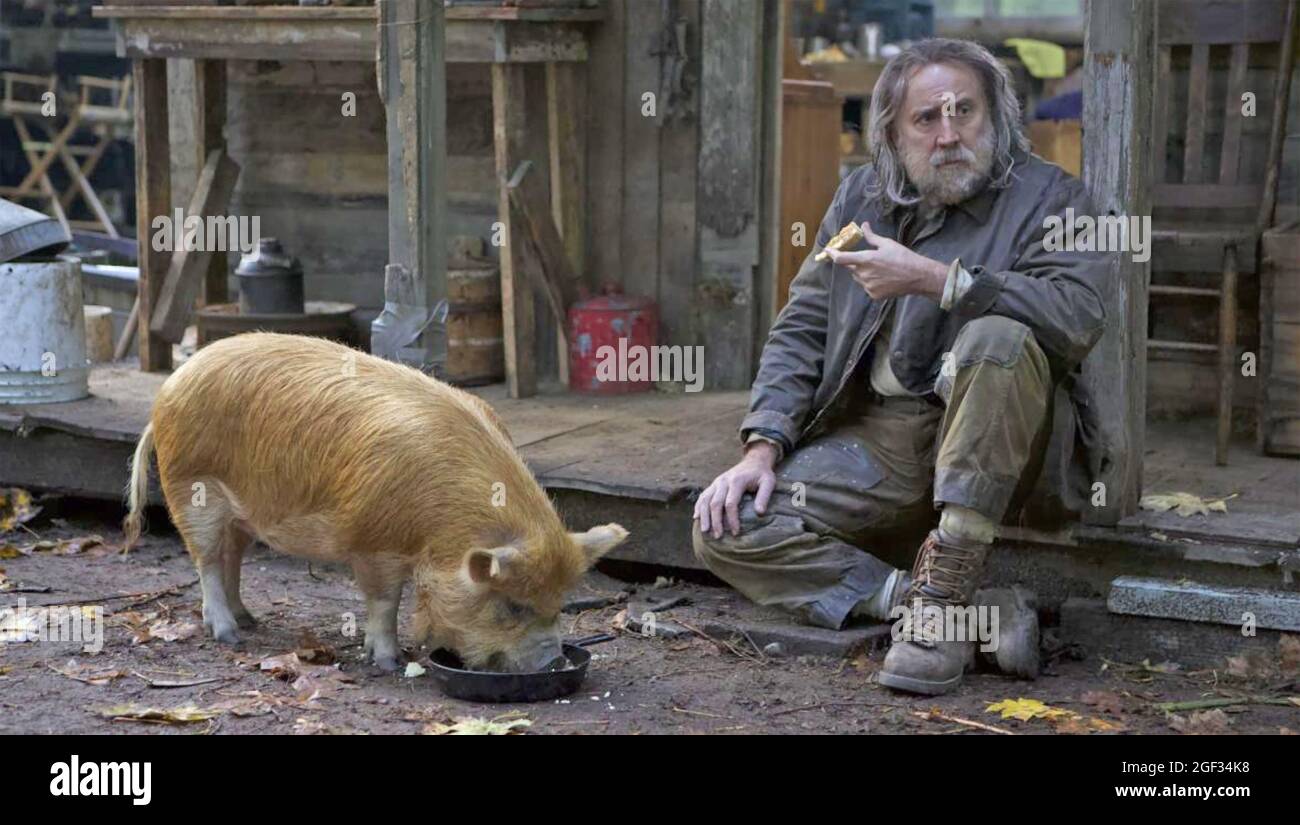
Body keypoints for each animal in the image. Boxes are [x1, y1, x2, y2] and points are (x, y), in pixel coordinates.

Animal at [122, 332, 628, 672]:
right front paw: (388, 661)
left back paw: (250, 621)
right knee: (206, 560)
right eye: (513, 606)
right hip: (191, 487)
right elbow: (385, 600)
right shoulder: (371, 541)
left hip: (240, 514)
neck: (440, 527)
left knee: (232, 558)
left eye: (559, 603)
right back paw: (230, 636)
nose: (552, 663)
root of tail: (168, 388)